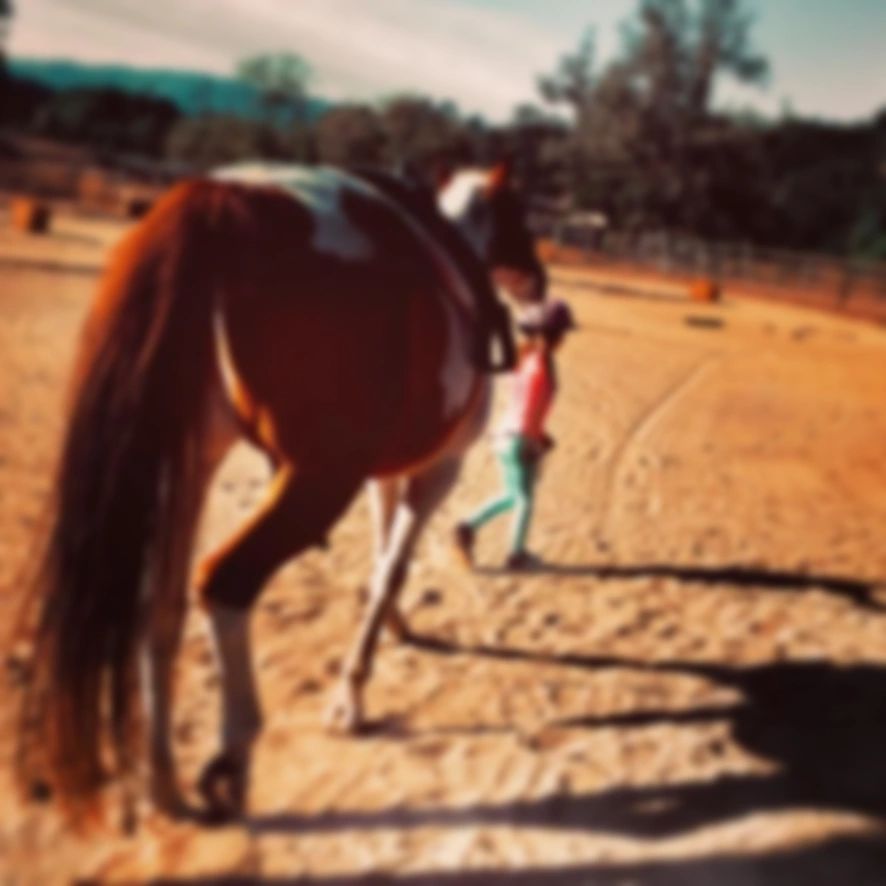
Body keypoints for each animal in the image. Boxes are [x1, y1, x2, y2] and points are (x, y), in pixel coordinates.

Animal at [16, 160, 546, 825]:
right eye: (520, 213)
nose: (538, 280)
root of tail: (217, 204)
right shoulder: (437, 471)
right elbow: (391, 569)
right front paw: (351, 699)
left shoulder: (386, 472)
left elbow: (382, 562)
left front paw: (393, 629)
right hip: (318, 479)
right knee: (223, 582)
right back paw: (231, 756)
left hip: (189, 462)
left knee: (158, 603)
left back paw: (162, 780)